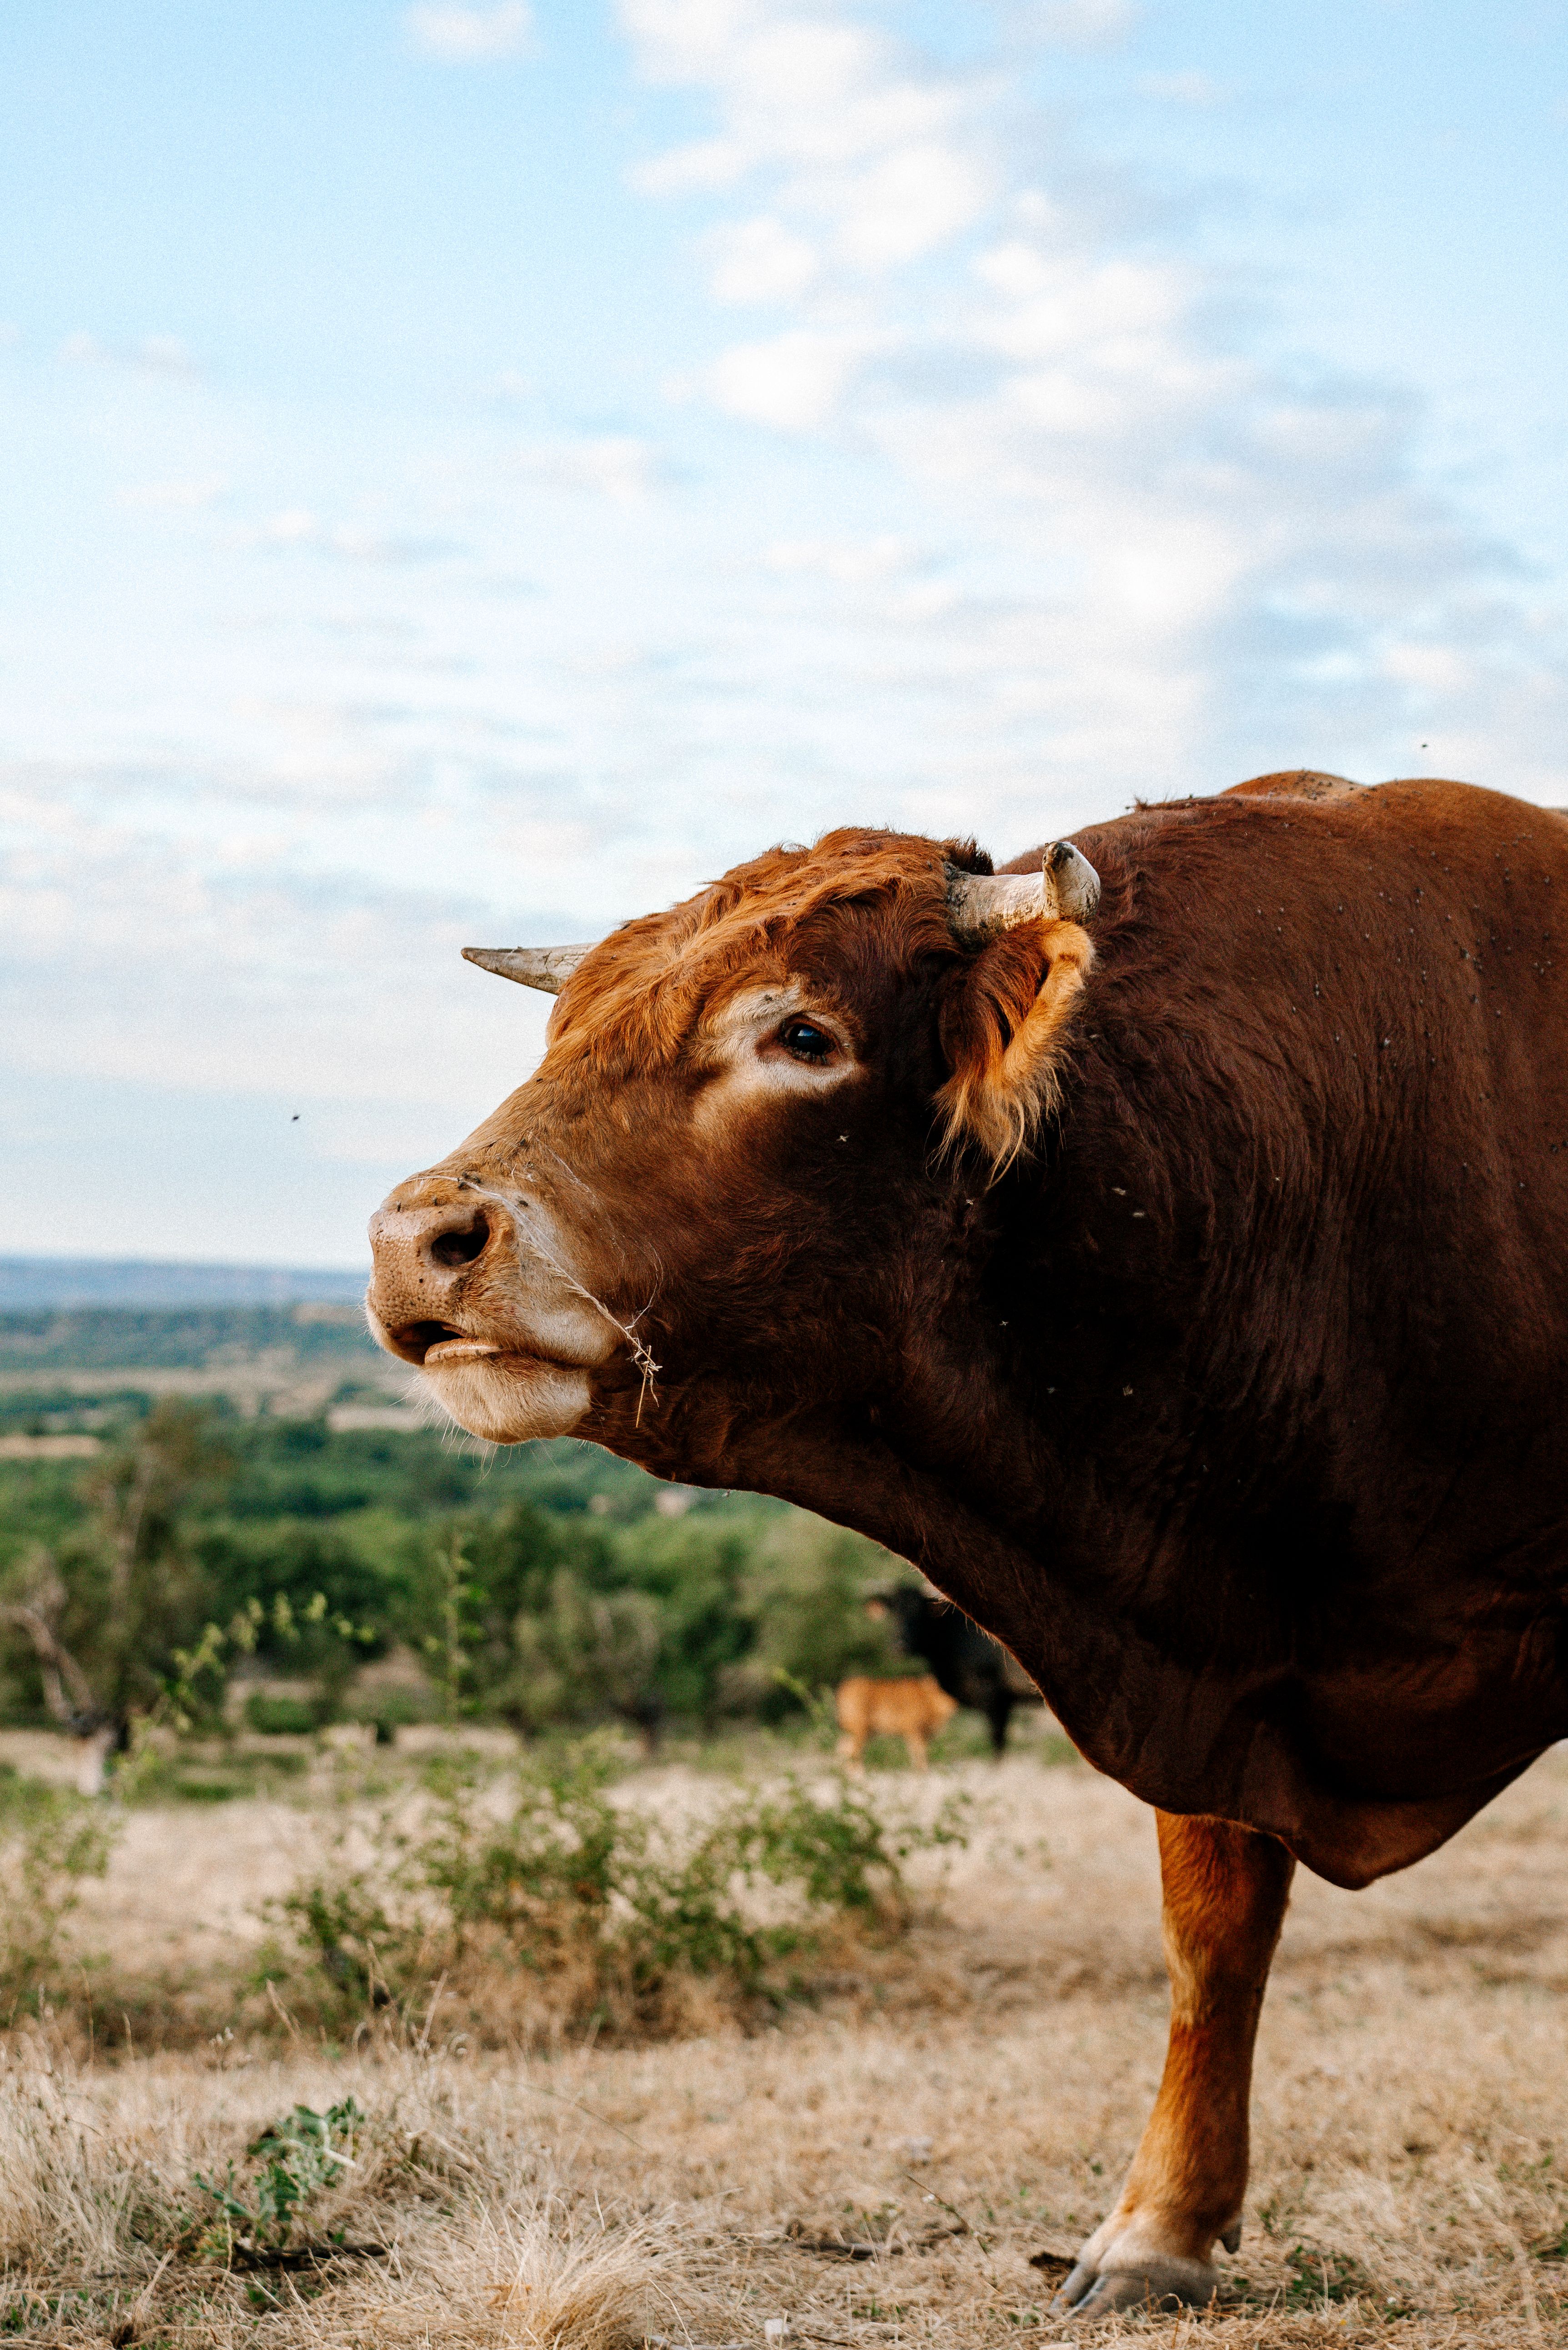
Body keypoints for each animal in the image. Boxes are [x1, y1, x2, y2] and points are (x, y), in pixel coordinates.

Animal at [835, 1672, 958, 1770]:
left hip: (862, 1732)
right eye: (942, 1691)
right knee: (853, 1753)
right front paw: (923, 1770)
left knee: (843, 1747)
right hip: (860, 1731)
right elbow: (920, 1753)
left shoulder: (912, 1733)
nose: (954, 1705)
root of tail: (844, 1689)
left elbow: (915, 1753)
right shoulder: (914, 1731)